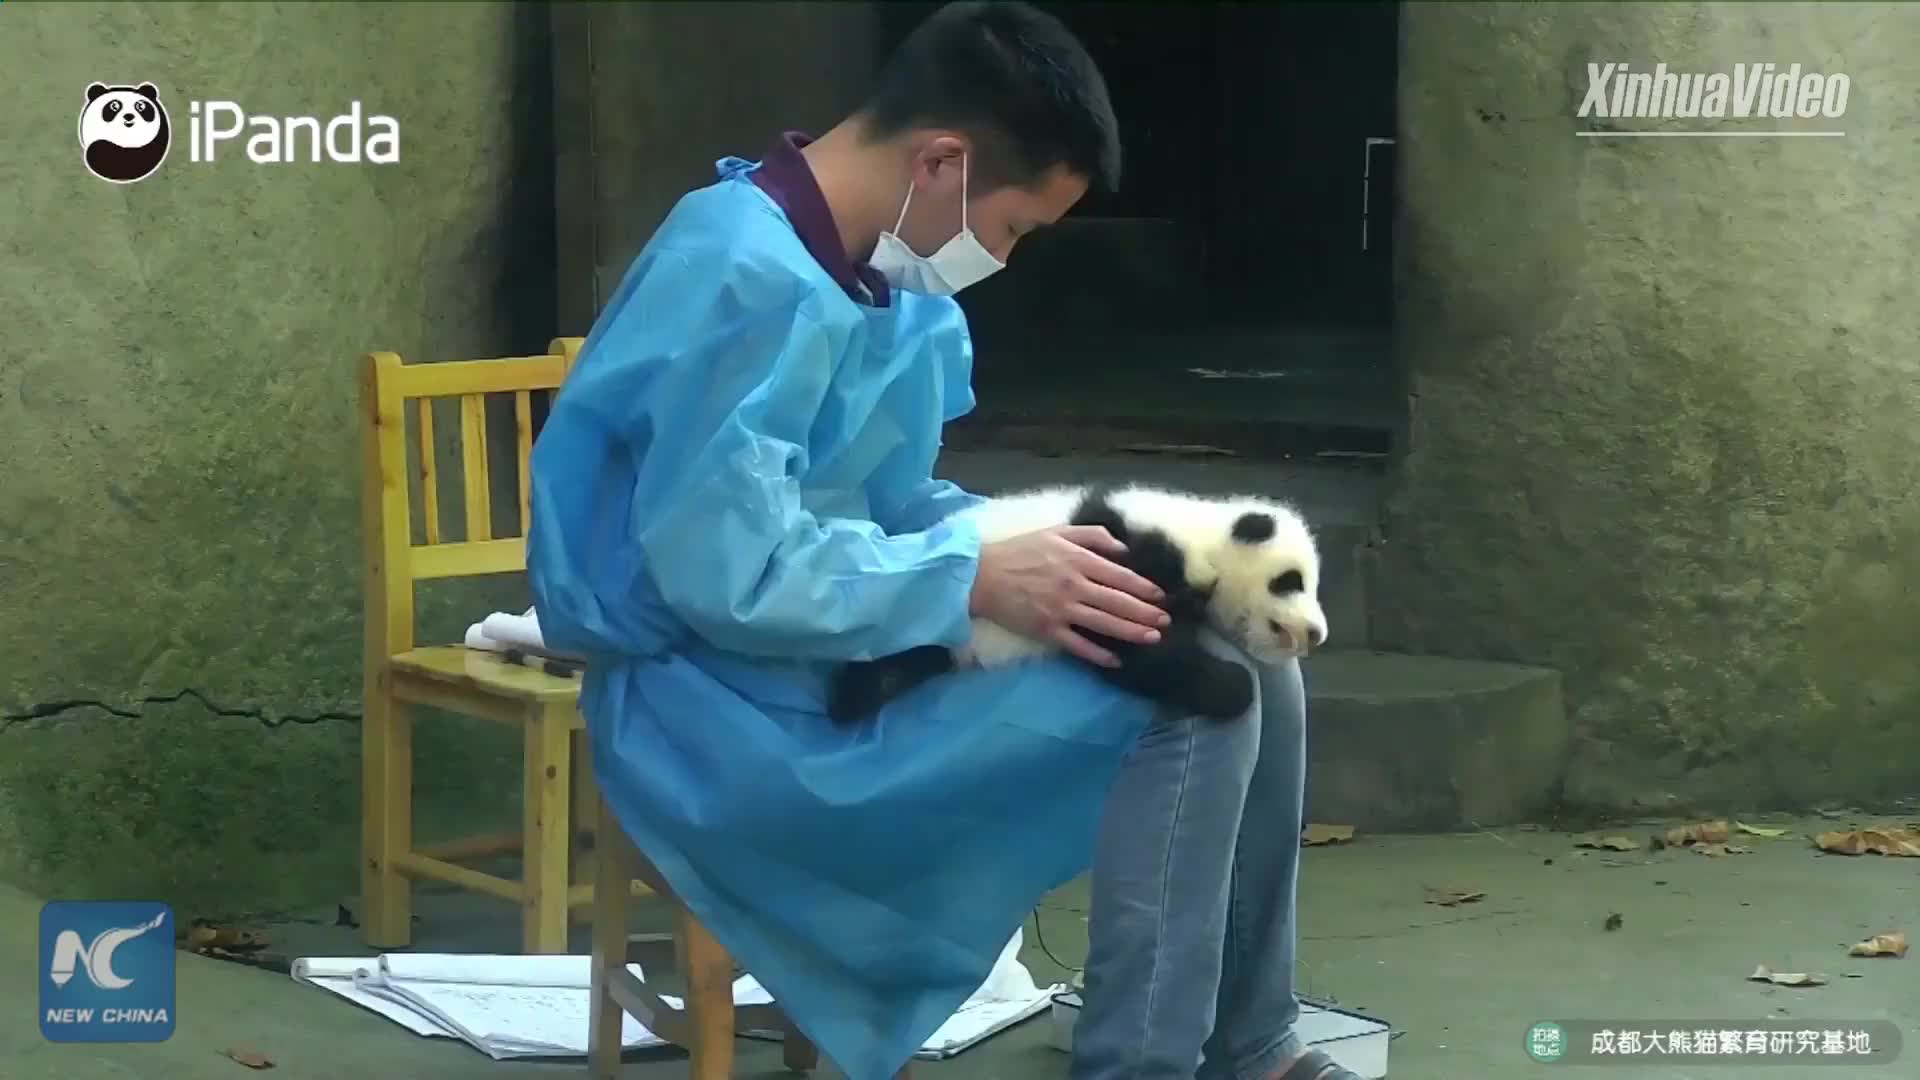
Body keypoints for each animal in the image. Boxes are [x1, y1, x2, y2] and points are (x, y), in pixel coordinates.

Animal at [827, 483, 1328, 725]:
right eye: (1291, 582)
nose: (1316, 633)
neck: (1202, 537)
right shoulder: (1120, 555)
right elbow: (1129, 645)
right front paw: (1233, 685)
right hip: (911, 617)